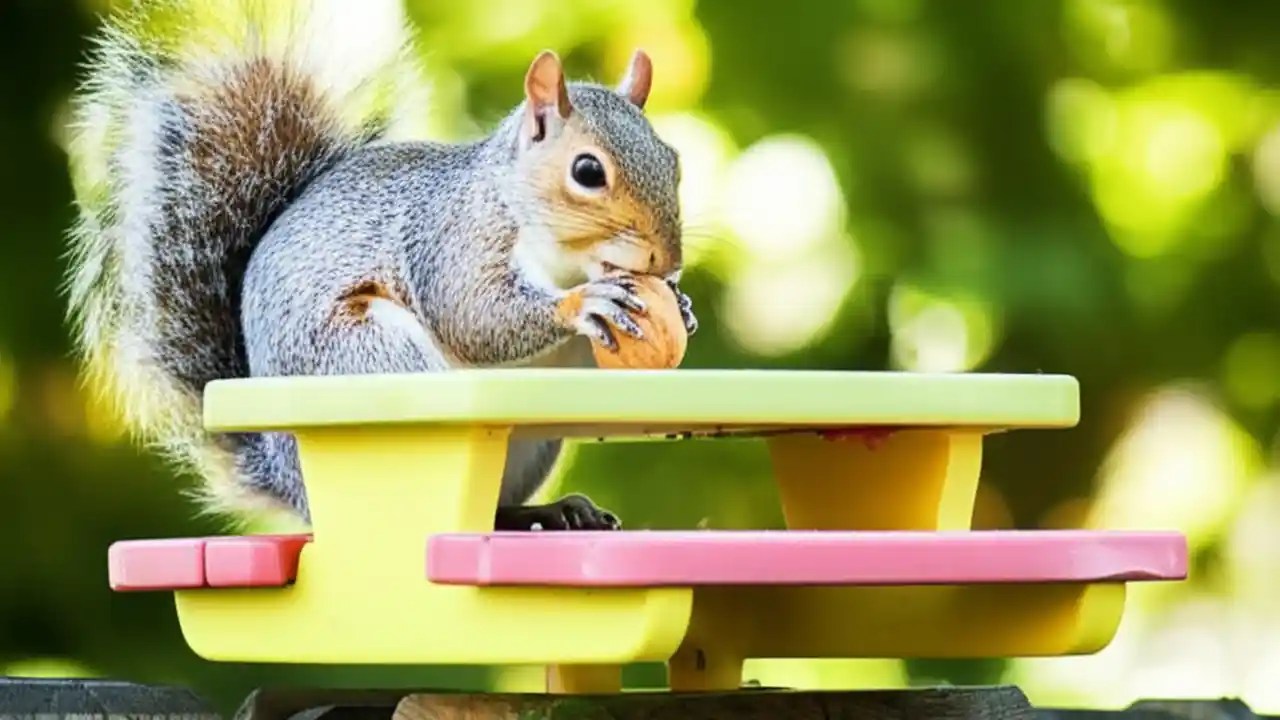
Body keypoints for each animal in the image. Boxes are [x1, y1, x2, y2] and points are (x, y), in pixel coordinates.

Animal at [63, 0, 697, 531]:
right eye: (587, 171)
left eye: (673, 159)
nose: (668, 260)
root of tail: (294, 486)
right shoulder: (453, 241)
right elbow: (474, 317)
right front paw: (584, 304)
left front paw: (679, 305)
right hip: (372, 359)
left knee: (491, 510)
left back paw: (554, 511)